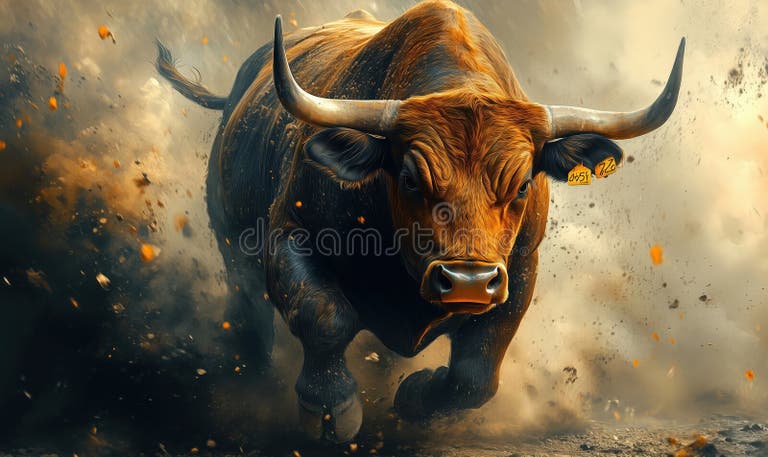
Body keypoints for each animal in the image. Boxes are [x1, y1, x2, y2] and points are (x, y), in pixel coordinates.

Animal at [156, 0, 684, 443]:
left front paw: (414, 396)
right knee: (249, 308)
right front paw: (330, 408)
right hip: (229, 237)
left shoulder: (519, 270)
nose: (469, 282)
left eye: (521, 185)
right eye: (410, 178)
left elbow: (475, 376)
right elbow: (324, 316)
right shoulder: (289, 235)